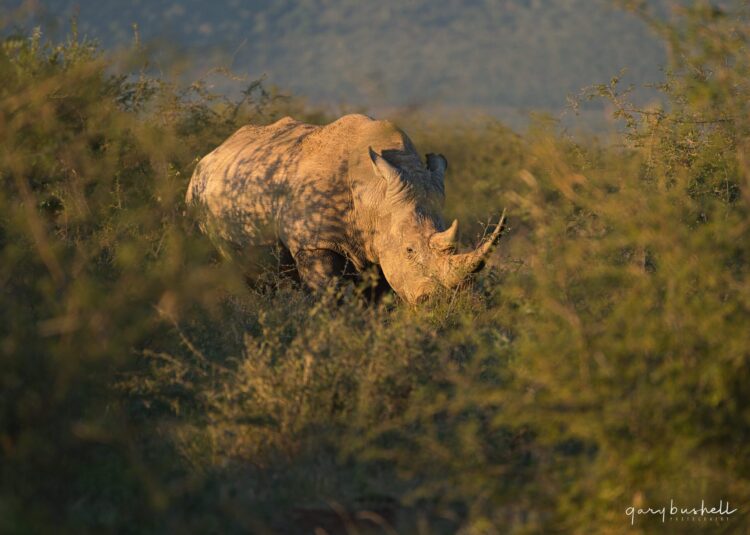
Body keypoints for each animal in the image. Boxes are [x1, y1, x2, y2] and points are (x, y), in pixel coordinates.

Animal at [185, 114, 504, 304]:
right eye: (409, 250)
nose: (443, 303)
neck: (375, 196)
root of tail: (214, 152)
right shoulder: (314, 243)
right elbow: (331, 294)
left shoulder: (378, 246)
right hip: (199, 197)